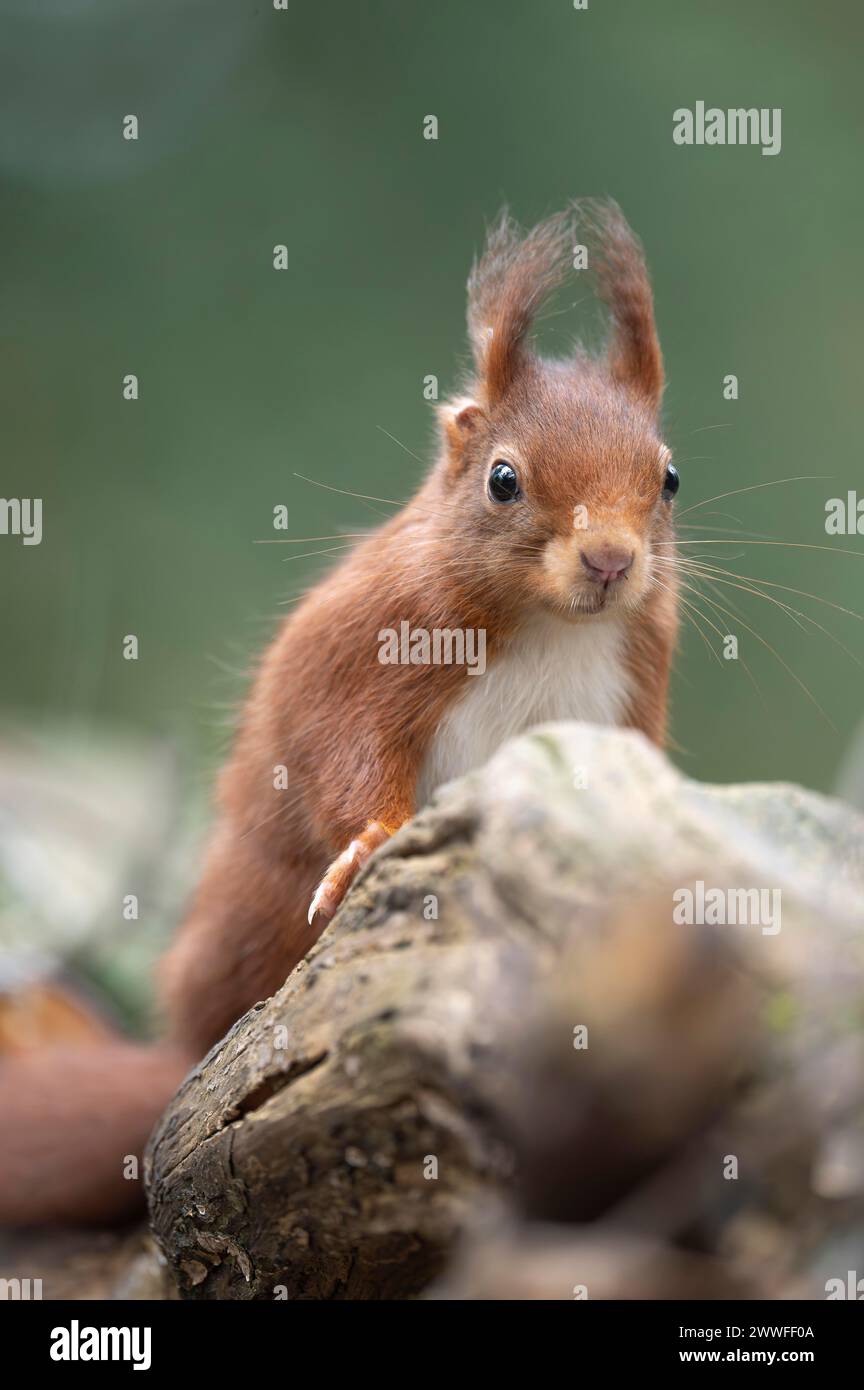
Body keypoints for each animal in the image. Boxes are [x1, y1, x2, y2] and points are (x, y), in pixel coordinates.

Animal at [0, 199, 678, 1226]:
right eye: (504, 479)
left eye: (670, 479)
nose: (609, 560)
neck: (551, 625)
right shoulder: (369, 643)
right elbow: (340, 747)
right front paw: (371, 840)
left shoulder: (633, 690)